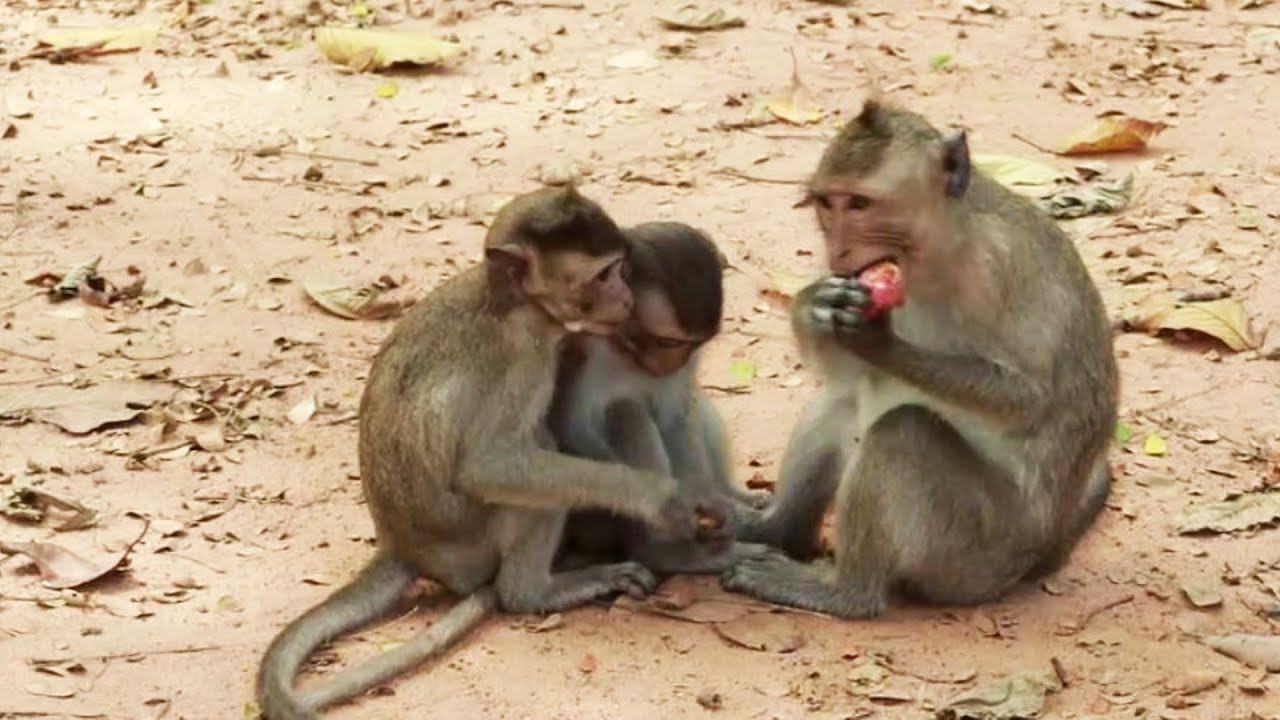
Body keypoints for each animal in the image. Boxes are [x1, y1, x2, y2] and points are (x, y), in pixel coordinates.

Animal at [256, 186, 728, 720]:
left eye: (621, 269)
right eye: (605, 274)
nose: (625, 297)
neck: (513, 302)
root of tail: (401, 545)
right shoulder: (526, 354)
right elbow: (486, 465)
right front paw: (657, 497)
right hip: (470, 546)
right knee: (535, 471)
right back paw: (534, 592)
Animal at [548, 221, 772, 575]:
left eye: (694, 346)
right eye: (668, 341)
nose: (673, 363)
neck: (622, 343)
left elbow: (677, 413)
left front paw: (713, 500)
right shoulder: (580, 342)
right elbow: (569, 425)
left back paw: (731, 498)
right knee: (626, 411)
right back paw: (665, 553)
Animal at [723, 99, 1118, 618]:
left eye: (859, 204)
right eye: (827, 204)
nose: (838, 251)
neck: (936, 251)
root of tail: (1044, 551)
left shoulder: (997, 268)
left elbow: (1026, 396)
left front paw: (879, 343)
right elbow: (847, 372)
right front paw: (814, 303)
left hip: (973, 551)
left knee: (903, 432)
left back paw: (845, 593)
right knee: (844, 400)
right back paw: (774, 528)